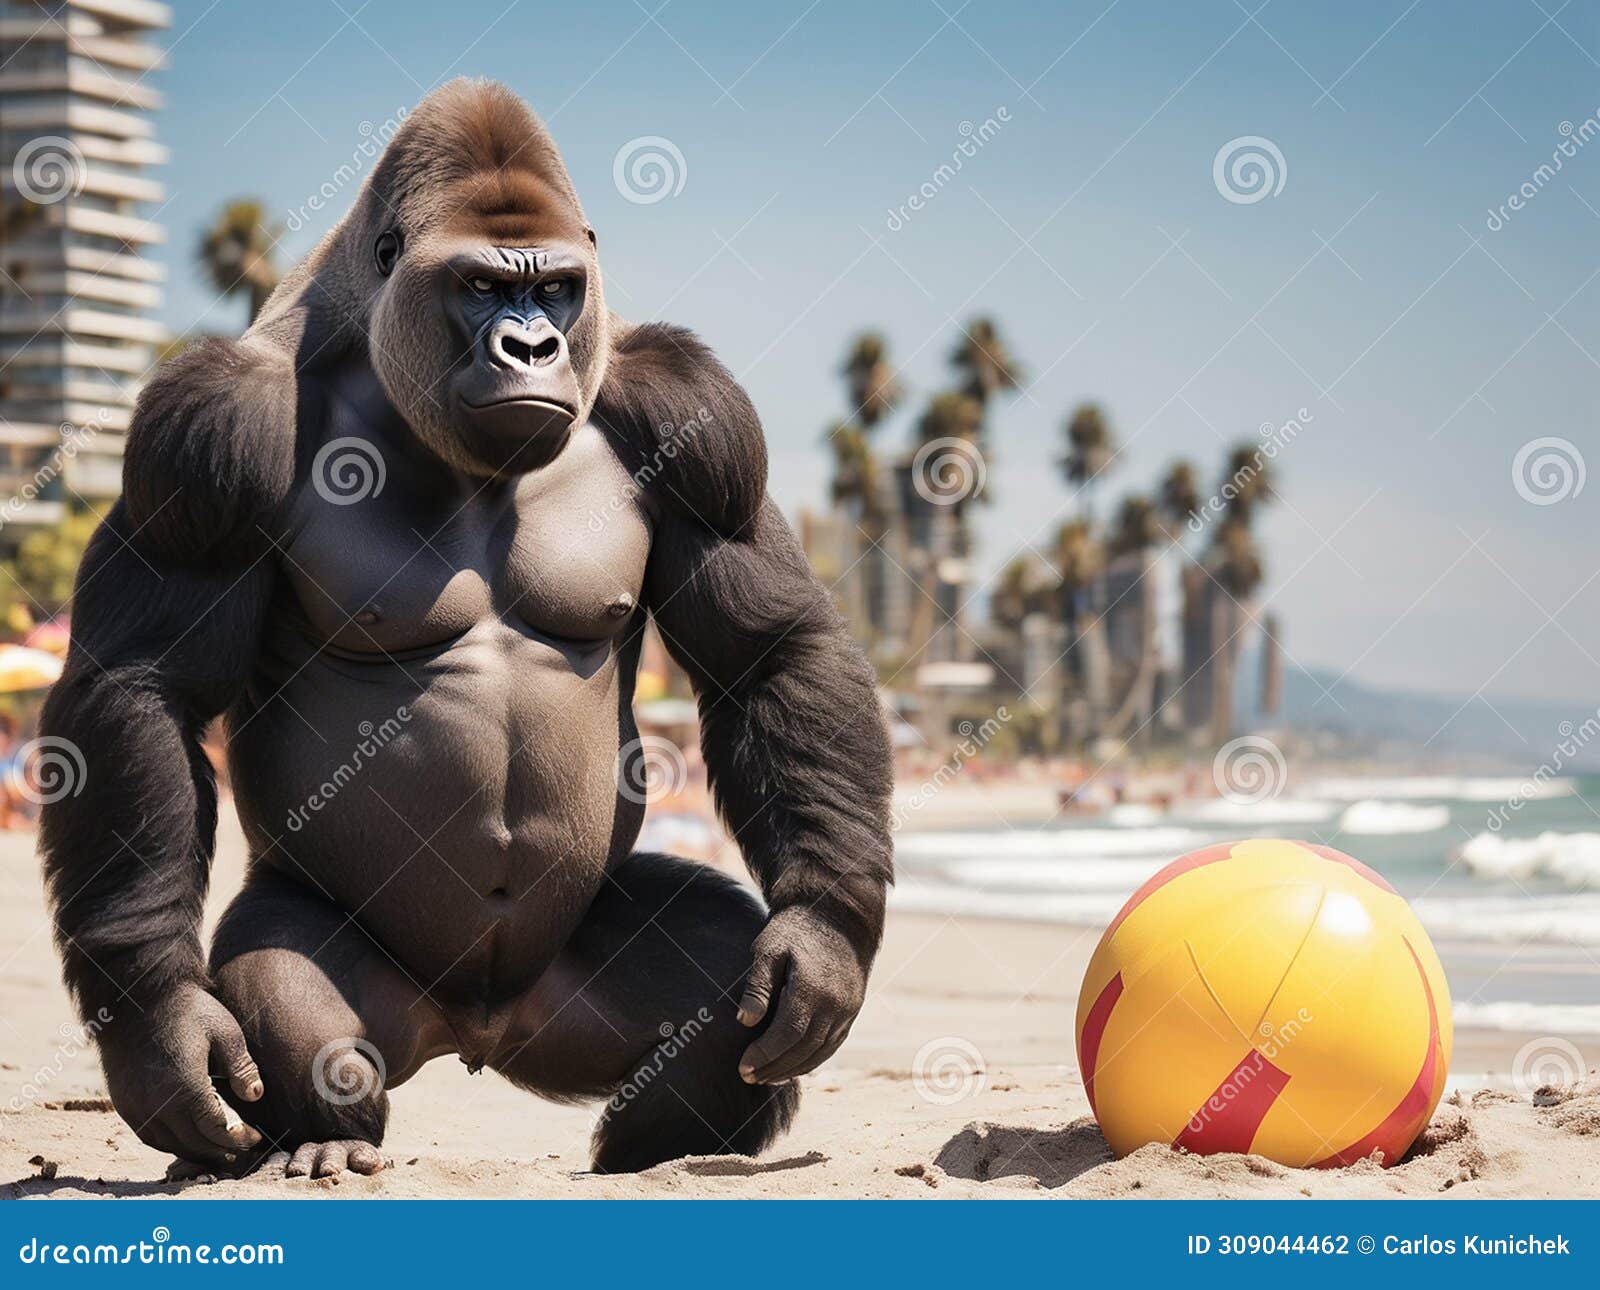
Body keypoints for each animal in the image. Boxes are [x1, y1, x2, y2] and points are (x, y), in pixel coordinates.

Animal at [38, 78, 893, 1179]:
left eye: (557, 291)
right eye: (483, 288)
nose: (532, 347)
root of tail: (472, 1036)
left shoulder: (690, 406)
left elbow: (769, 652)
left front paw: (822, 935)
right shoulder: (211, 427)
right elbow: (144, 685)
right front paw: (160, 1029)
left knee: (717, 992)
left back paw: (658, 1150)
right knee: (301, 1012)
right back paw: (321, 1136)